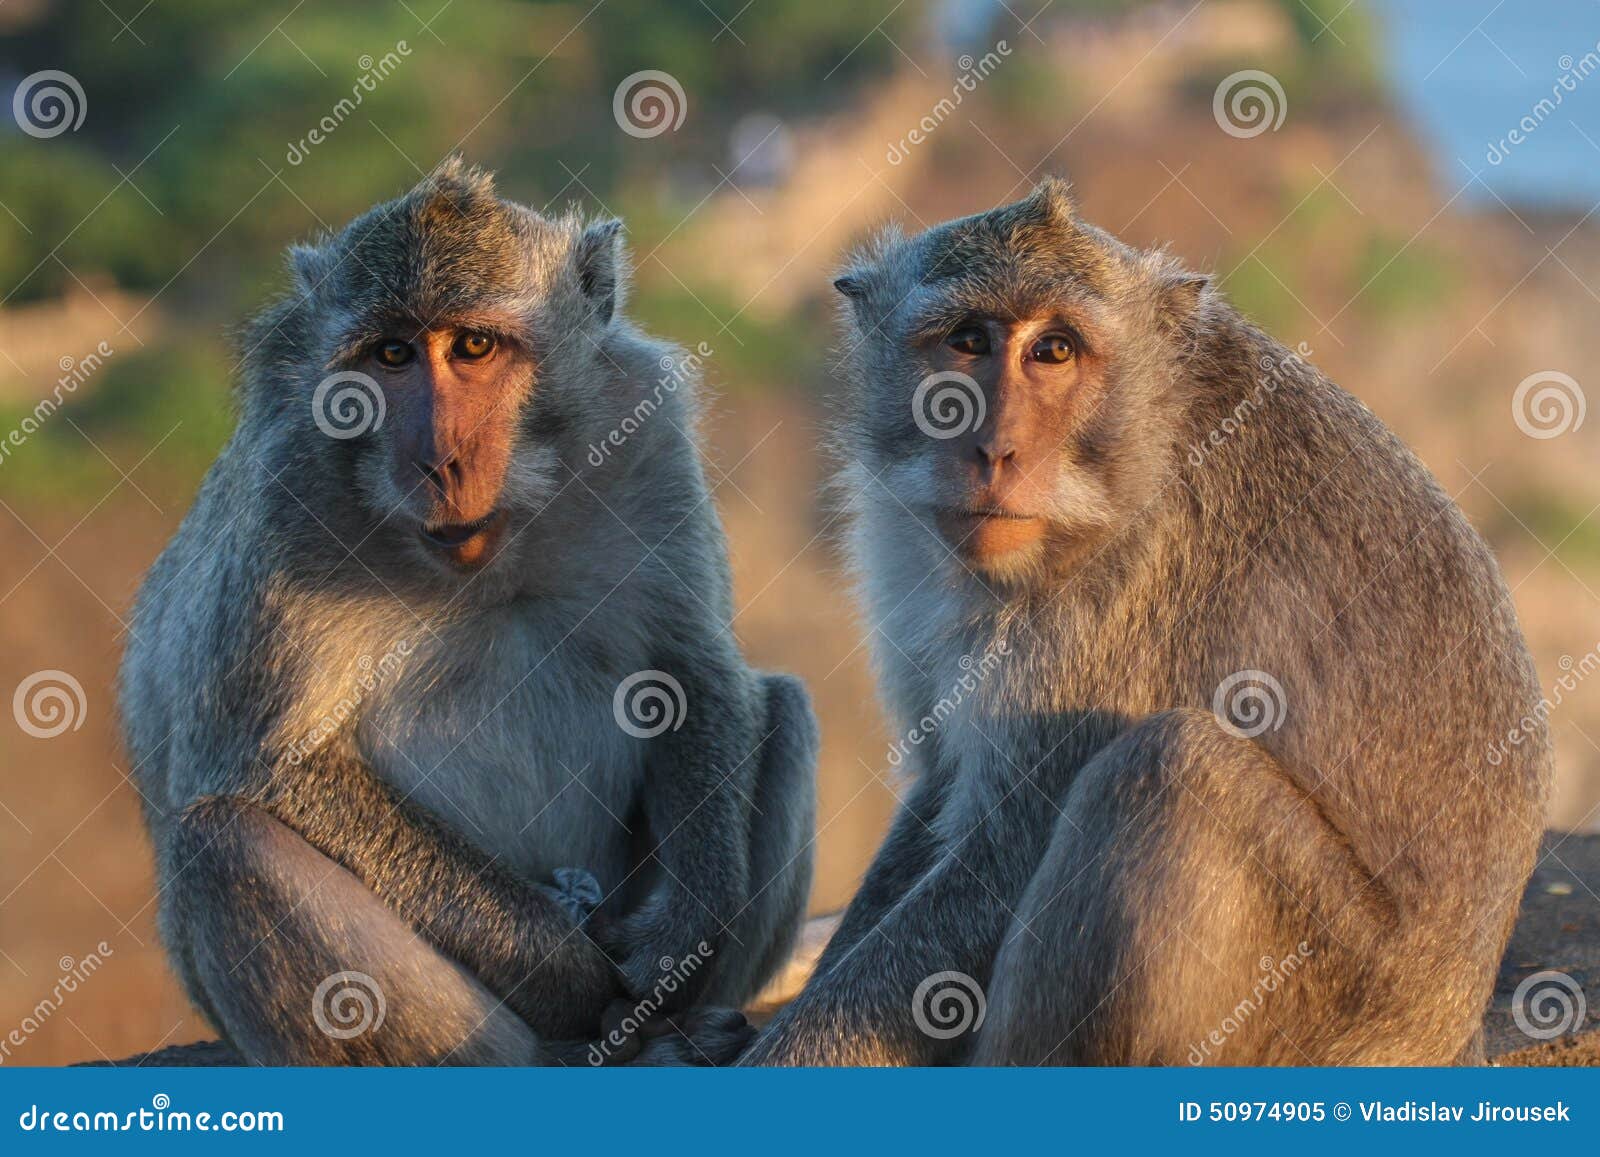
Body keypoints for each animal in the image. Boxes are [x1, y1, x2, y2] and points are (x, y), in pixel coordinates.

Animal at [117, 158, 818, 1065]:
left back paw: (676, 1027)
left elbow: (693, 671)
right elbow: (264, 766)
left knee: (786, 708)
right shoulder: (286, 486)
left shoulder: (647, 428)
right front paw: (557, 962)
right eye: (391, 355)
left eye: (473, 347)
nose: (438, 459)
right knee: (224, 844)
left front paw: (683, 932)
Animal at [737, 179, 1549, 1066]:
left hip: (1325, 1001)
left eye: (1054, 351)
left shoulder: (1124, 592)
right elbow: (941, 781)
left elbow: (1004, 851)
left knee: (1171, 764)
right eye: (967, 340)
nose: (995, 450)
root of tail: (1451, 1028)